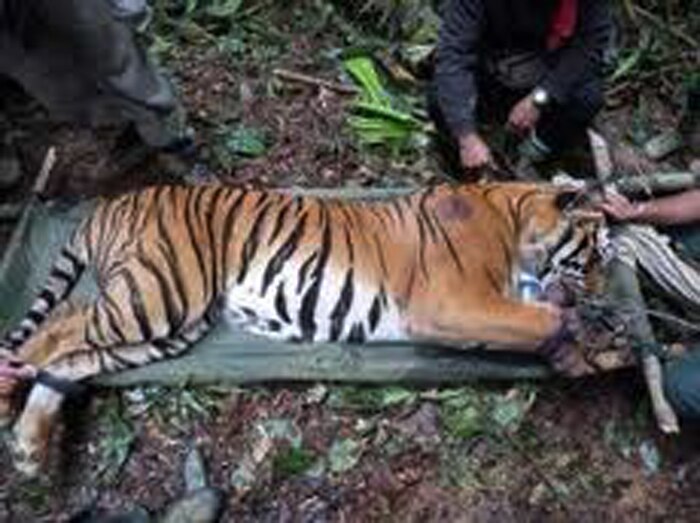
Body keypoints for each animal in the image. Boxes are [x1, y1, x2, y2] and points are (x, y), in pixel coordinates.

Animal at [0, 181, 605, 475]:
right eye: (596, 255)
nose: (602, 294)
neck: (515, 222)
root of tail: (106, 205)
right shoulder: (452, 301)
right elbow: (538, 318)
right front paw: (580, 336)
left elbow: (533, 320)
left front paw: (572, 349)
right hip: (156, 294)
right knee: (56, 327)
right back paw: (9, 401)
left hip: (169, 326)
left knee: (73, 358)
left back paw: (28, 450)